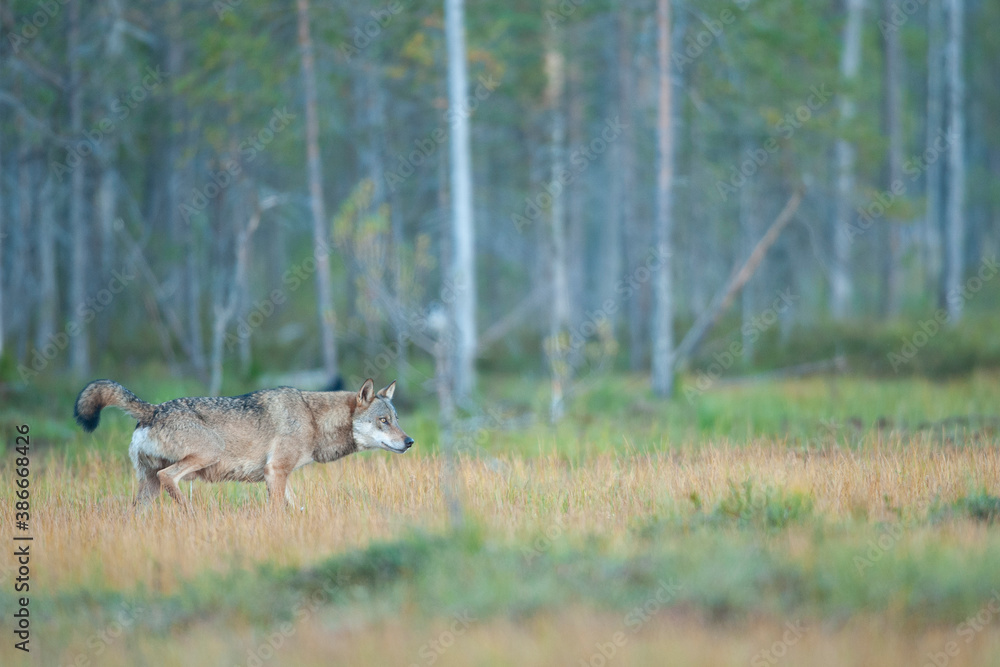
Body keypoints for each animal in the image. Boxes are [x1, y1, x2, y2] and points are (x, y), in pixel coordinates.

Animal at [73, 378, 413, 508]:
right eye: (384, 421)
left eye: (396, 418)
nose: (410, 441)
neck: (313, 418)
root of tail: (152, 409)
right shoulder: (276, 472)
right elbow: (277, 511)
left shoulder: (279, 475)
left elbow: (296, 507)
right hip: (205, 455)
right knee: (169, 477)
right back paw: (190, 515)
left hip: (147, 488)